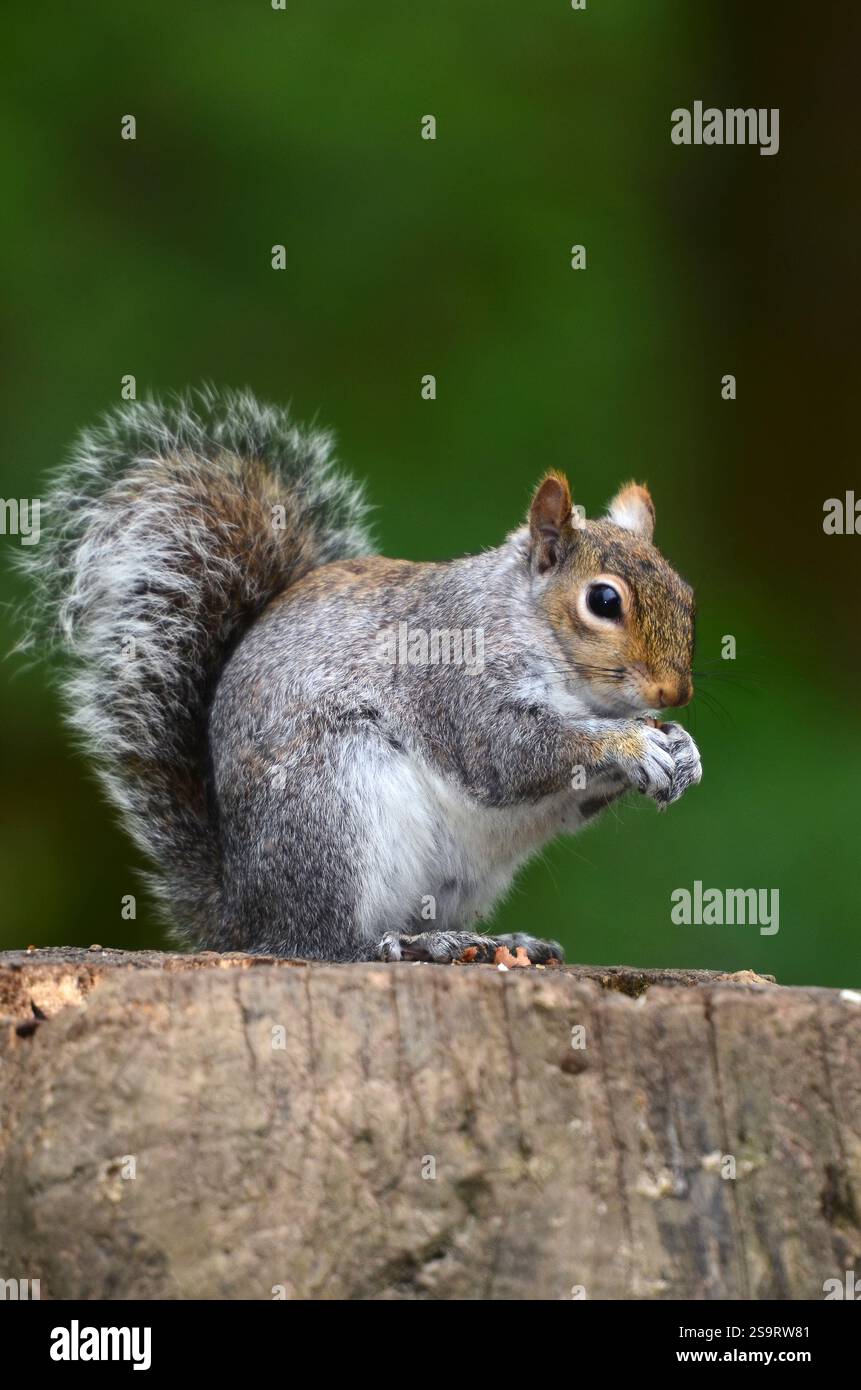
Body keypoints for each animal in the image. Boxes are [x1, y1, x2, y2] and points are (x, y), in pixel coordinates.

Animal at [22, 387, 702, 964]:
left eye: (688, 594)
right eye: (604, 601)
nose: (676, 692)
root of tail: (244, 916)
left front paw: (682, 750)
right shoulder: (457, 682)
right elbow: (507, 753)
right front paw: (630, 743)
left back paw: (484, 941)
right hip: (333, 804)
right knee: (325, 942)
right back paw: (395, 945)